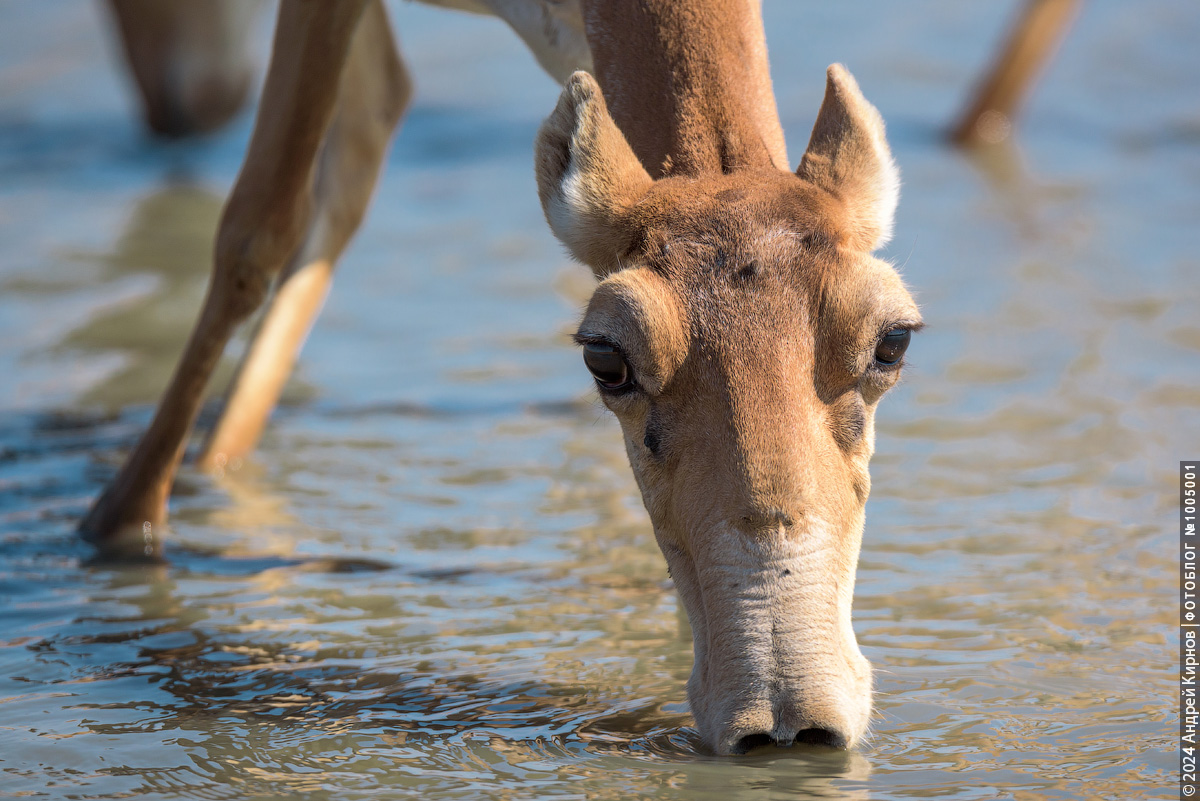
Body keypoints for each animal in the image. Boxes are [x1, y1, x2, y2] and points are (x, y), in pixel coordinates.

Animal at [84, 0, 1008, 753]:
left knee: (370, 120)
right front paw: (116, 522)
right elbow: (255, 230)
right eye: (607, 357)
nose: (785, 714)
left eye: (892, 342)